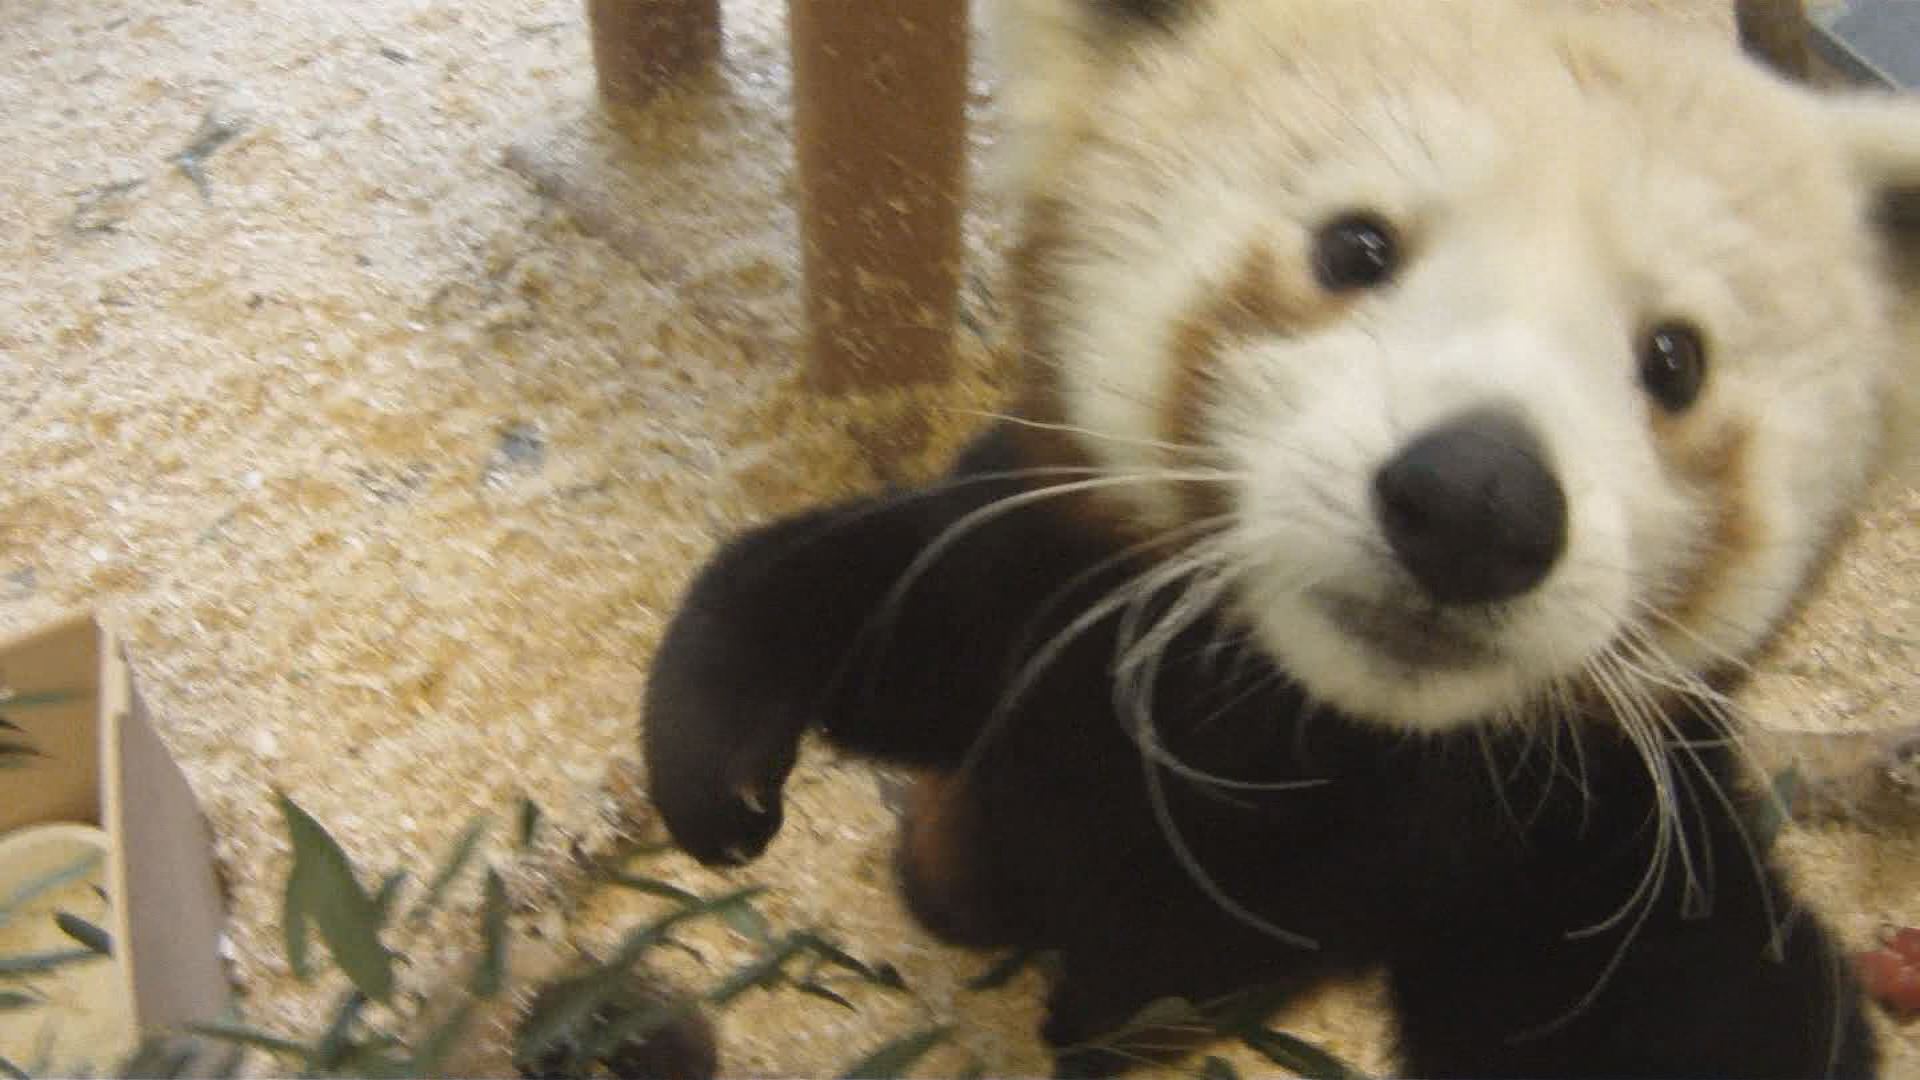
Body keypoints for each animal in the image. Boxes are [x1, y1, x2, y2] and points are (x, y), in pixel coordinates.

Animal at [641, 1, 1920, 1074]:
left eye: (1674, 360)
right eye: (1355, 247)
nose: (1480, 504)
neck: (1314, 740)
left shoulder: (1578, 837)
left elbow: (1710, 1003)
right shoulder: (1055, 592)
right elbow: (877, 602)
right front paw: (719, 737)